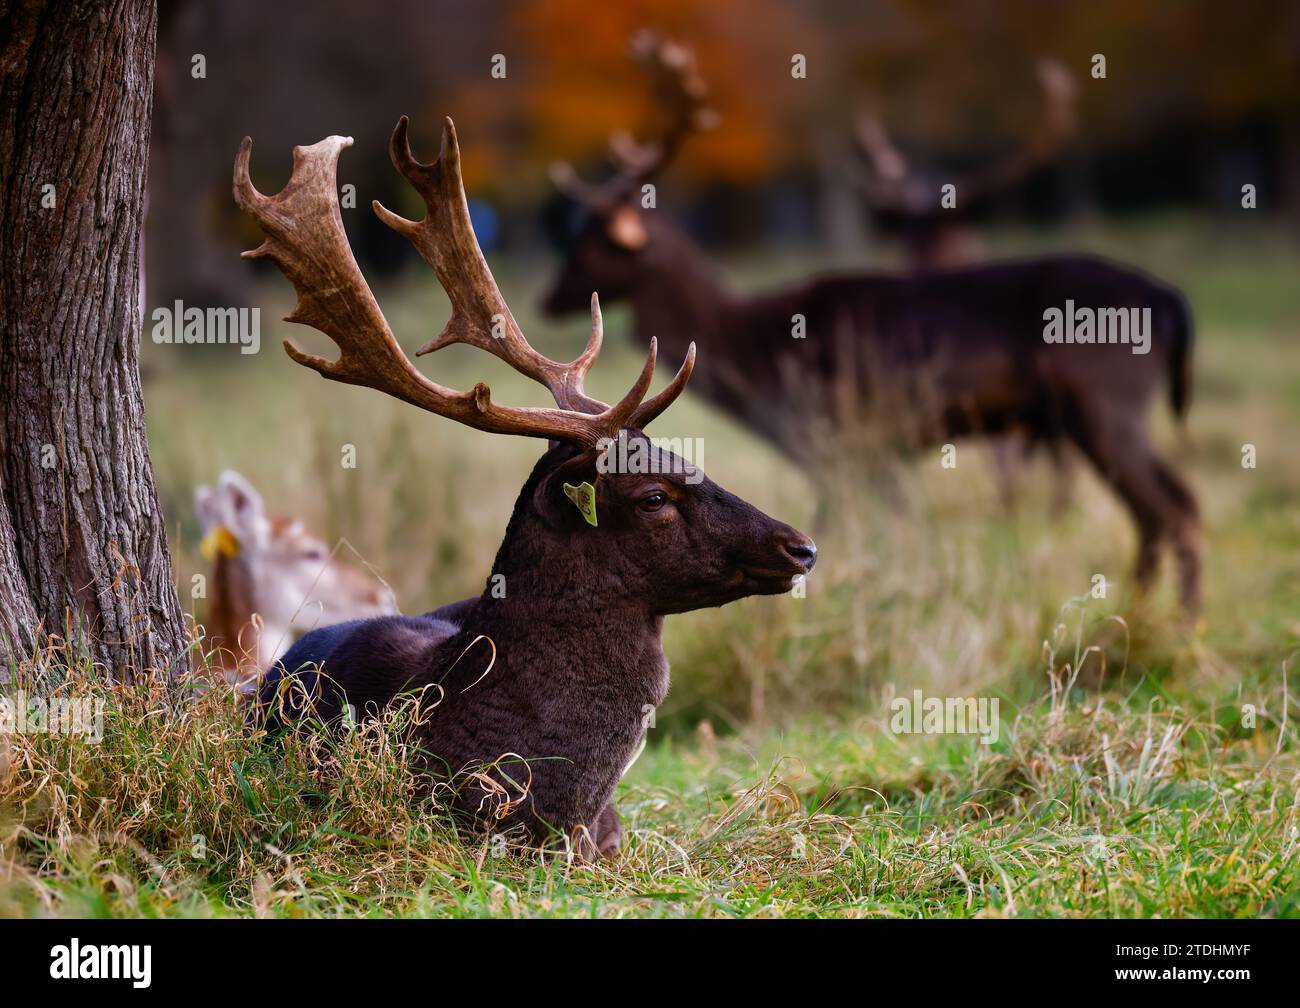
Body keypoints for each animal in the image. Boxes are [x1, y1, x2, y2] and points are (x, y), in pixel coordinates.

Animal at [542, 34, 1201, 617]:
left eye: (590, 241)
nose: (547, 298)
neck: (758, 357)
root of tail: (1171, 301)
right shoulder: (868, 447)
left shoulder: (842, 436)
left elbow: (871, 527)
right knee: (1156, 510)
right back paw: (1143, 614)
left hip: (1106, 401)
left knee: (1175, 505)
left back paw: (1177, 621)